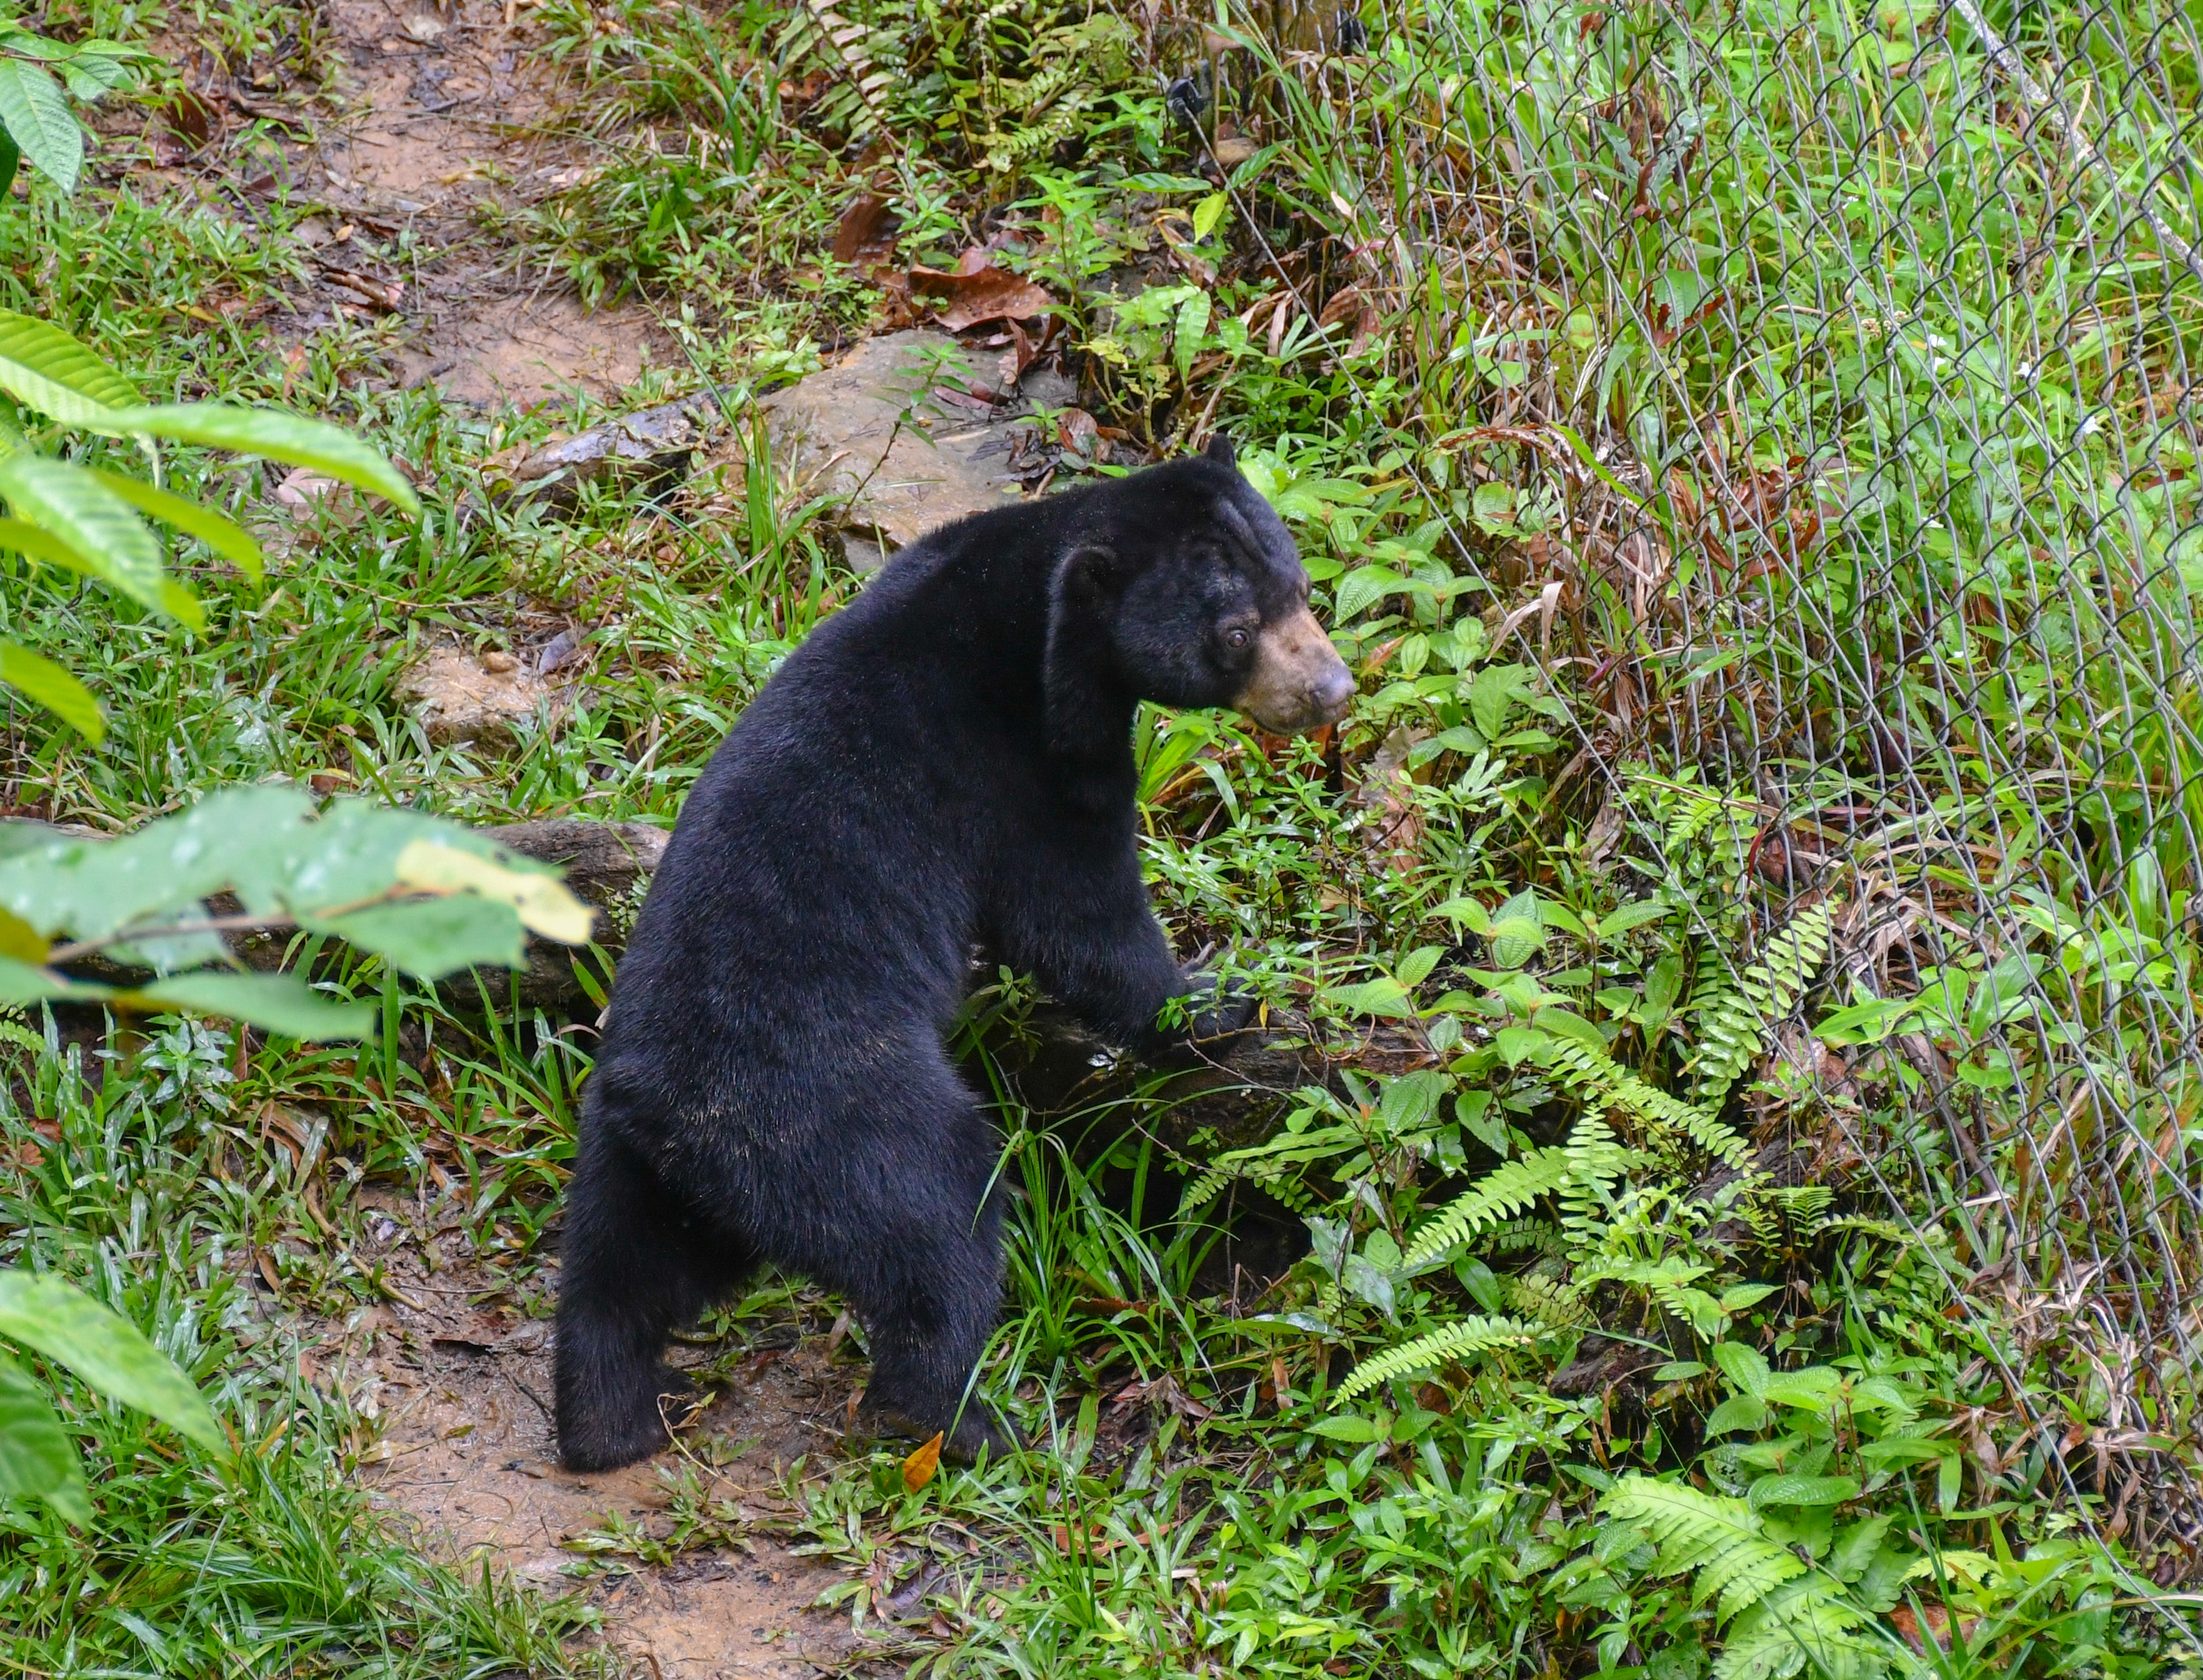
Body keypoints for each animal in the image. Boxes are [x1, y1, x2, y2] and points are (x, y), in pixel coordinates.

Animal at [553, 436, 1354, 1471]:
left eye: (1301, 585)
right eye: (1236, 627)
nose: (1330, 689)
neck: (1033, 600)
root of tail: (669, 1112)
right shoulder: (1022, 750)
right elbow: (1075, 912)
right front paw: (1218, 994)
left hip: (633, 1163)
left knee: (617, 1276)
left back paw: (617, 1420)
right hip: (822, 1112)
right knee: (936, 1219)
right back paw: (967, 1419)